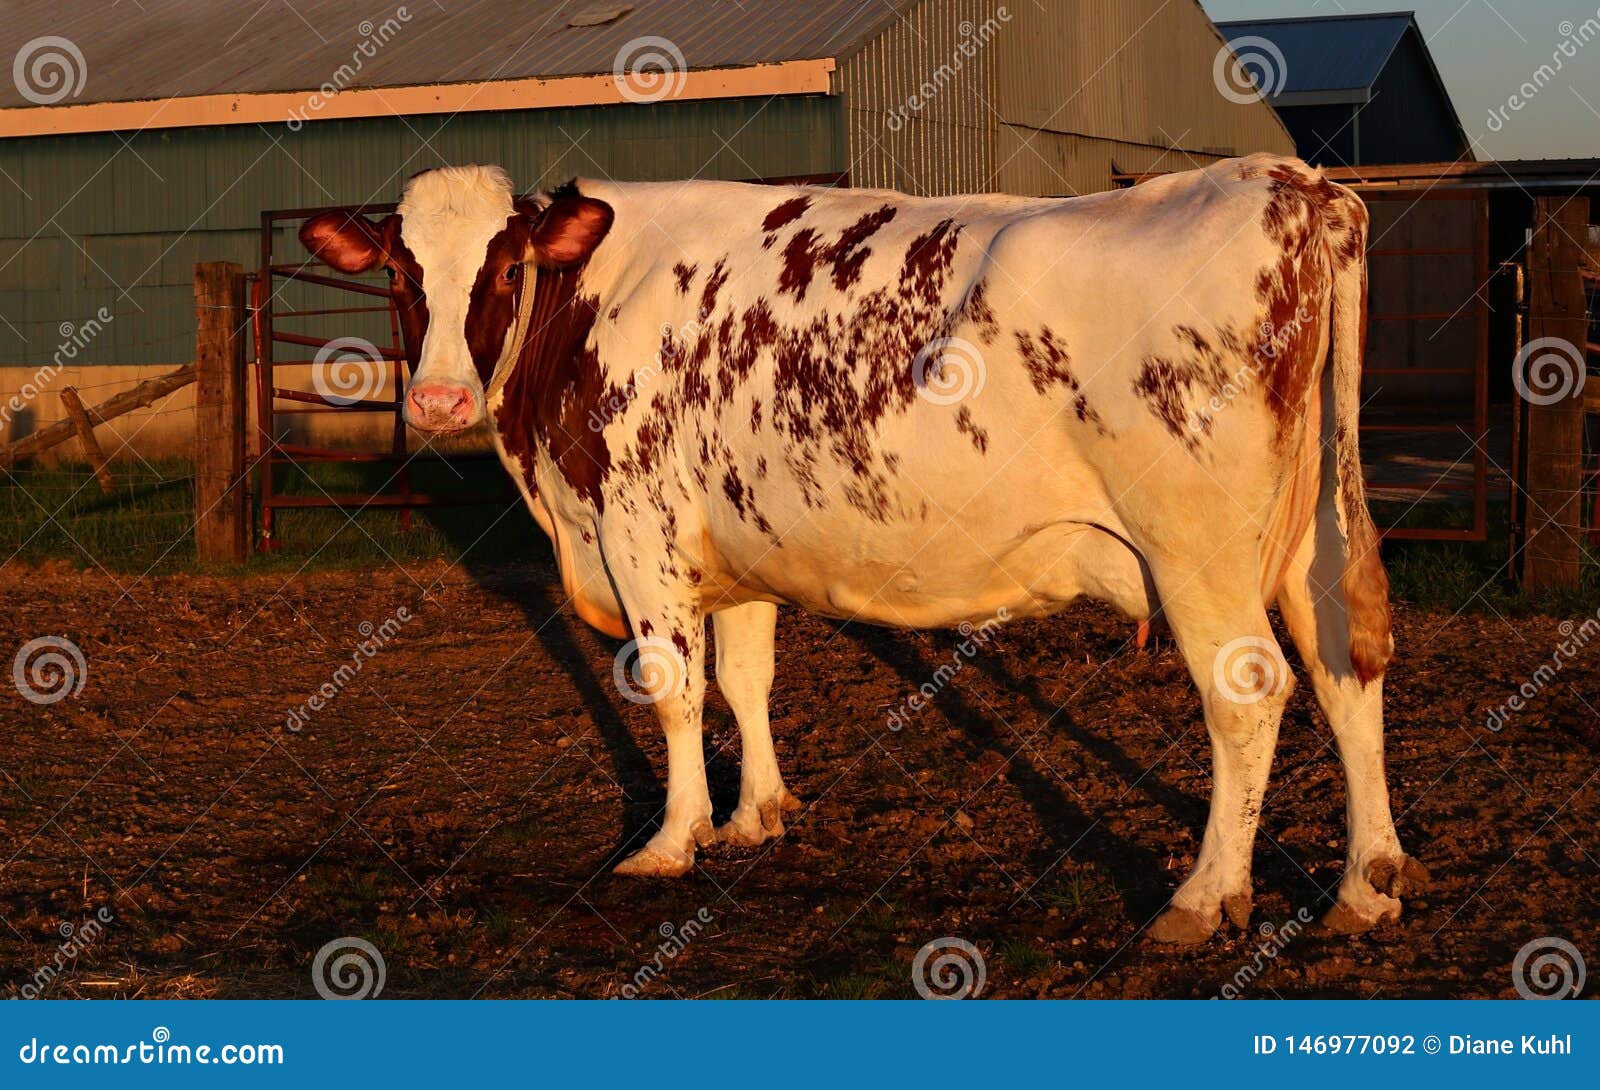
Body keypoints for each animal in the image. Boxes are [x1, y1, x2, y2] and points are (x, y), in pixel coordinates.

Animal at [298, 154, 1428, 944]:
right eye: (400, 270)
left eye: (503, 265)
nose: (439, 401)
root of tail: (1290, 182)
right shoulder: (733, 541)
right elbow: (744, 676)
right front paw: (753, 817)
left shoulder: (639, 528)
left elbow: (671, 686)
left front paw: (669, 840)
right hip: (1312, 532)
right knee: (1347, 668)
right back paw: (1367, 884)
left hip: (1196, 547)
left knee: (1250, 693)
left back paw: (1202, 897)